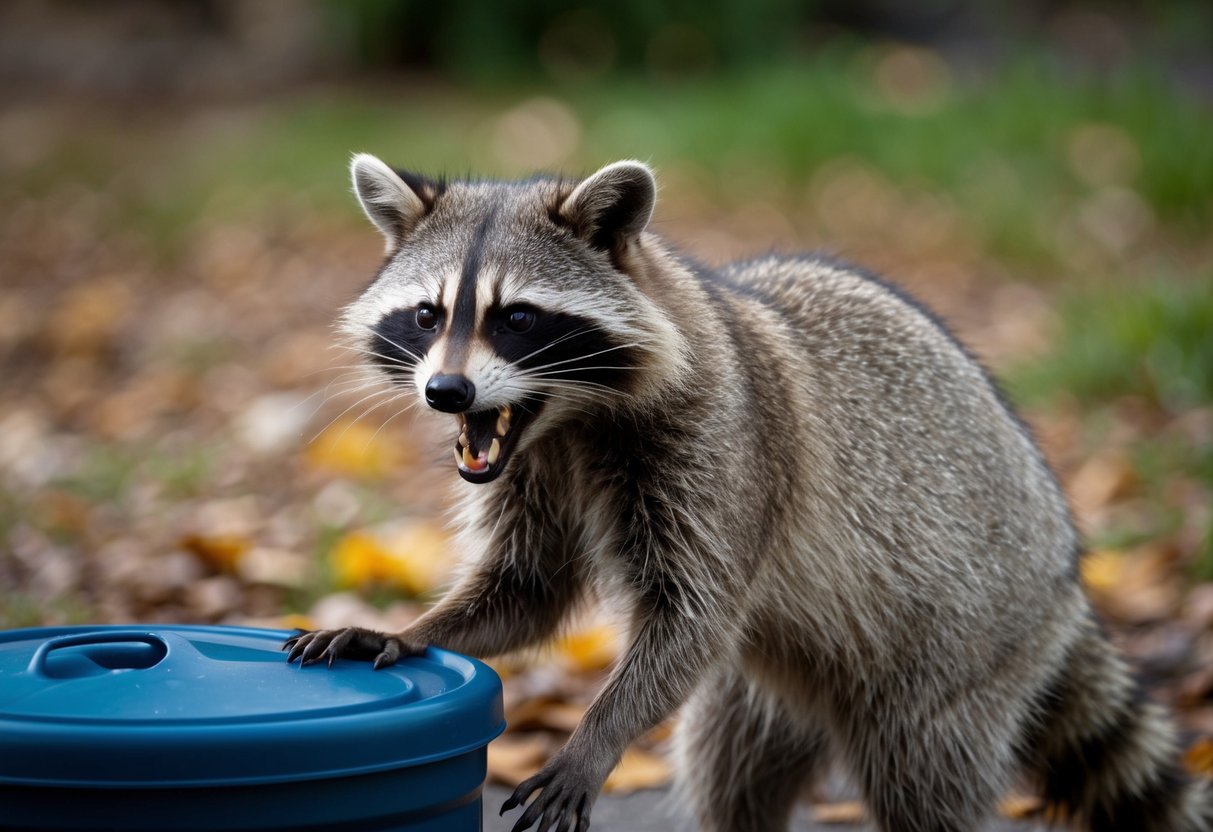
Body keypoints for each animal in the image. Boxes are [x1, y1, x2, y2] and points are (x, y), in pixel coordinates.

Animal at [286, 155, 1212, 832]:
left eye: (516, 317)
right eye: (426, 315)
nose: (446, 393)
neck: (568, 419)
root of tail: (1065, 583)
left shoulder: (724, 450)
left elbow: (692, 613)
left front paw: (598, 733)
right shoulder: (531, 470)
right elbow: (529, 588)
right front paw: (406, 630)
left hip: (963, 652)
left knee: (921, 778)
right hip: (764, 695)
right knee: (731, 772)